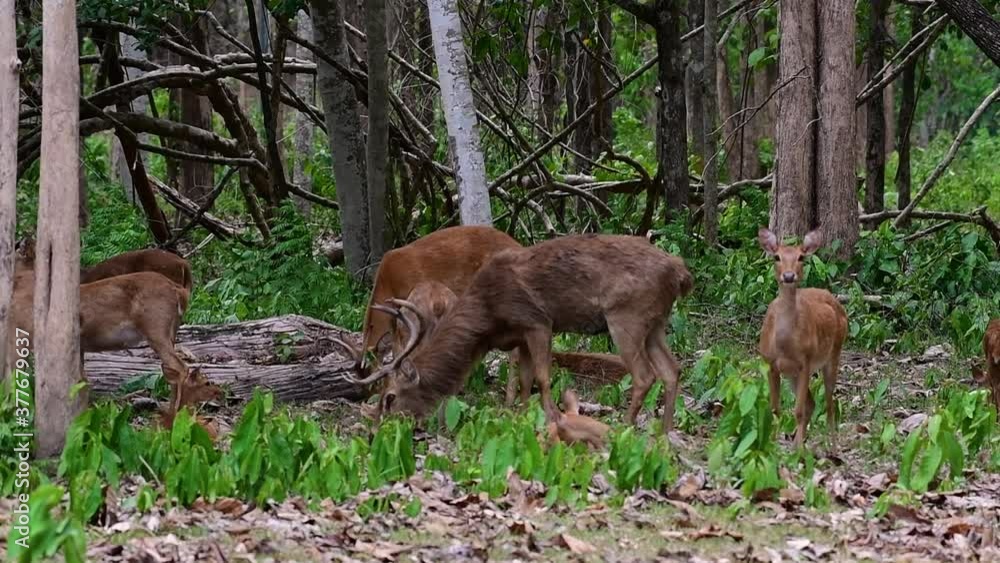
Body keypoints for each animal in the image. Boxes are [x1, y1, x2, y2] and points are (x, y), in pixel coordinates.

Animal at [347, 233, 693, 435]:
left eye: (390, 397)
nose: (373, 432)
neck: (487, 319)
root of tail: (680, 271)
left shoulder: (536, 321)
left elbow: (542, 376)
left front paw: (553, 419)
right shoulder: (519, 336)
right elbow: (526, 380)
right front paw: (524, 417)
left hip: (626, 315)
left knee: (645, 374)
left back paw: (624, 427)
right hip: (655, 323)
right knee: (672, 369)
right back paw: (665, 432)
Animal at [757, 228, 848, 449]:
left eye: (801, 257)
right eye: (776, 256)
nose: (789, 276)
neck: (784, 344)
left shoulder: (805, 362)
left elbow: (797, 411)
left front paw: (797, 450)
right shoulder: (770, 364)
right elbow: (775, 409)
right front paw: (773, 445)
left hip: (833, 353)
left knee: (829, 404)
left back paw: (832, 446)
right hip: (792, 375)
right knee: (812, 403)